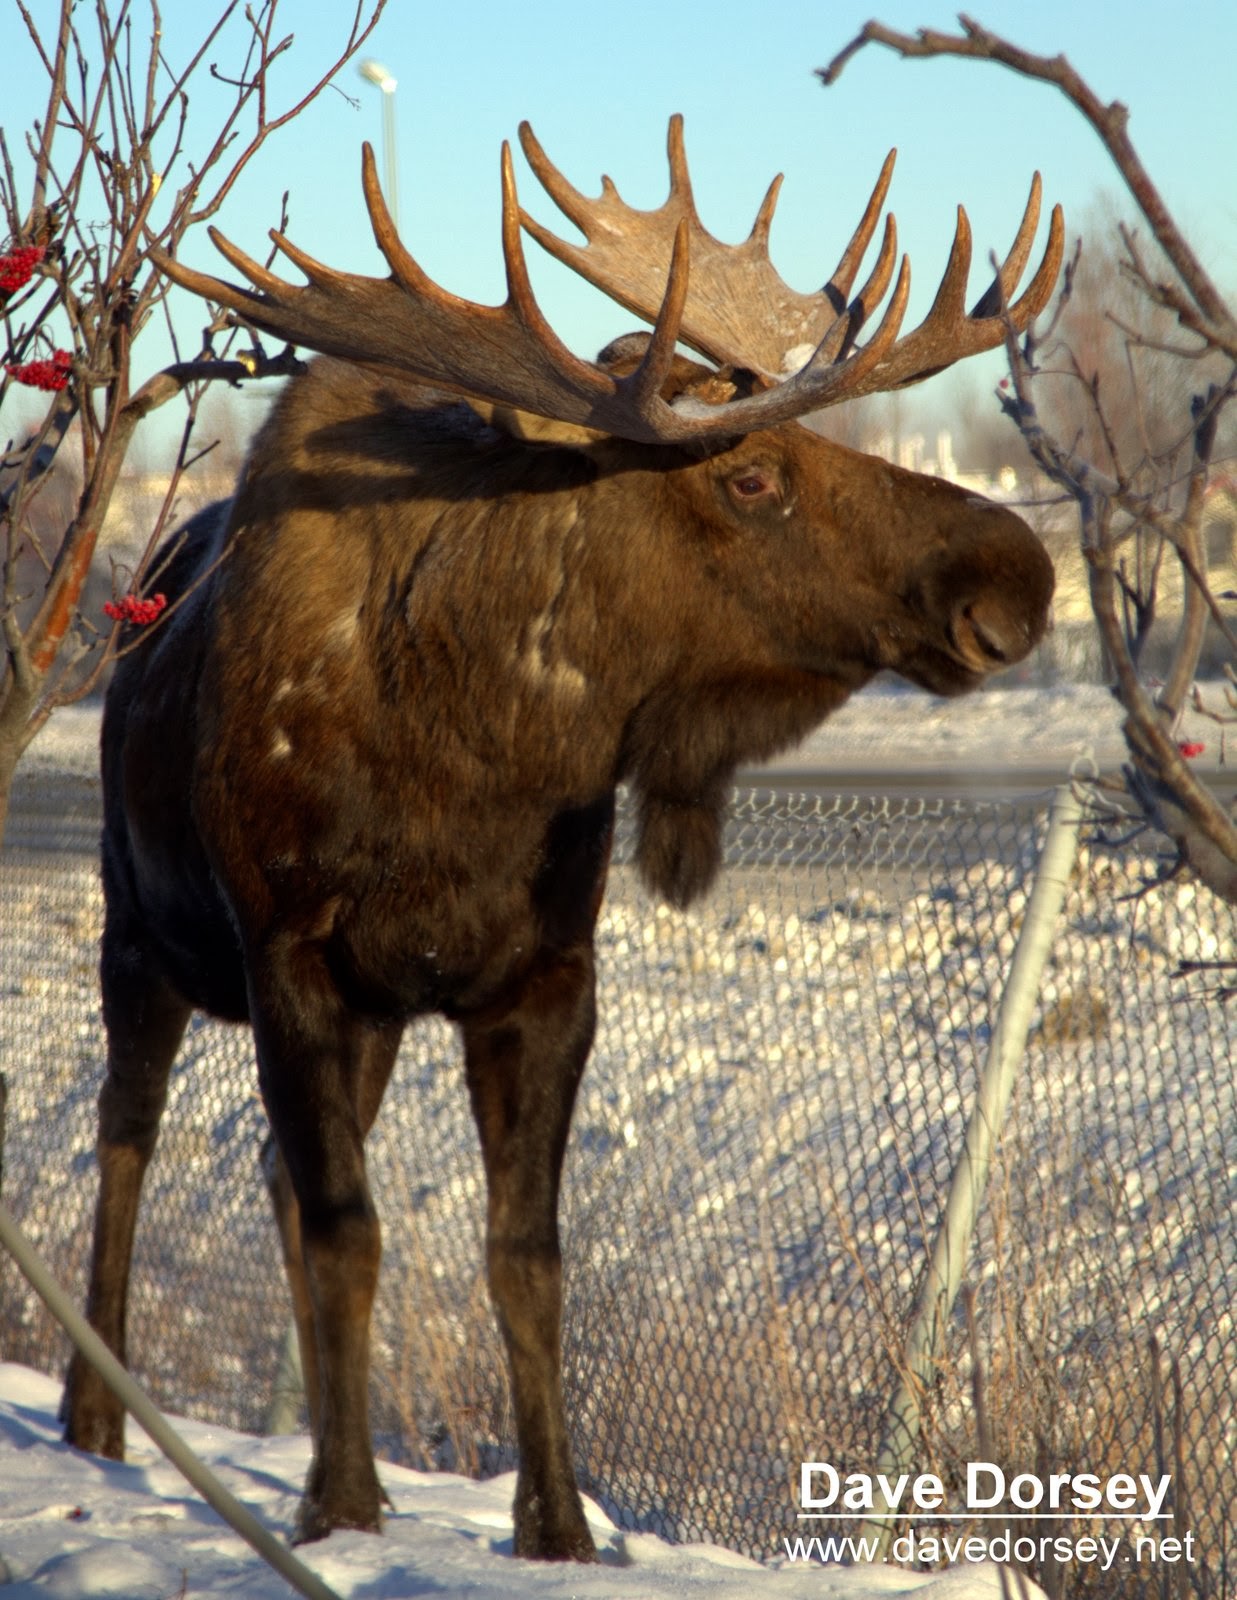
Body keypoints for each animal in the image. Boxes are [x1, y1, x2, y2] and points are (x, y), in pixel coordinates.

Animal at [61, 119, 1061, 1560]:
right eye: (752, 473)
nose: (1016, 570)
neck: (473, 763)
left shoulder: (543, 976)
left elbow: (522, 1256)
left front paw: (555, 1524)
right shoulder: (289, 955)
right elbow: (352, 1233)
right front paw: (344, 1506)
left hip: (359, 1015)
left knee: (269, 1176)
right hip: (140, 936)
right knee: (128, 1142)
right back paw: (97, 1414)